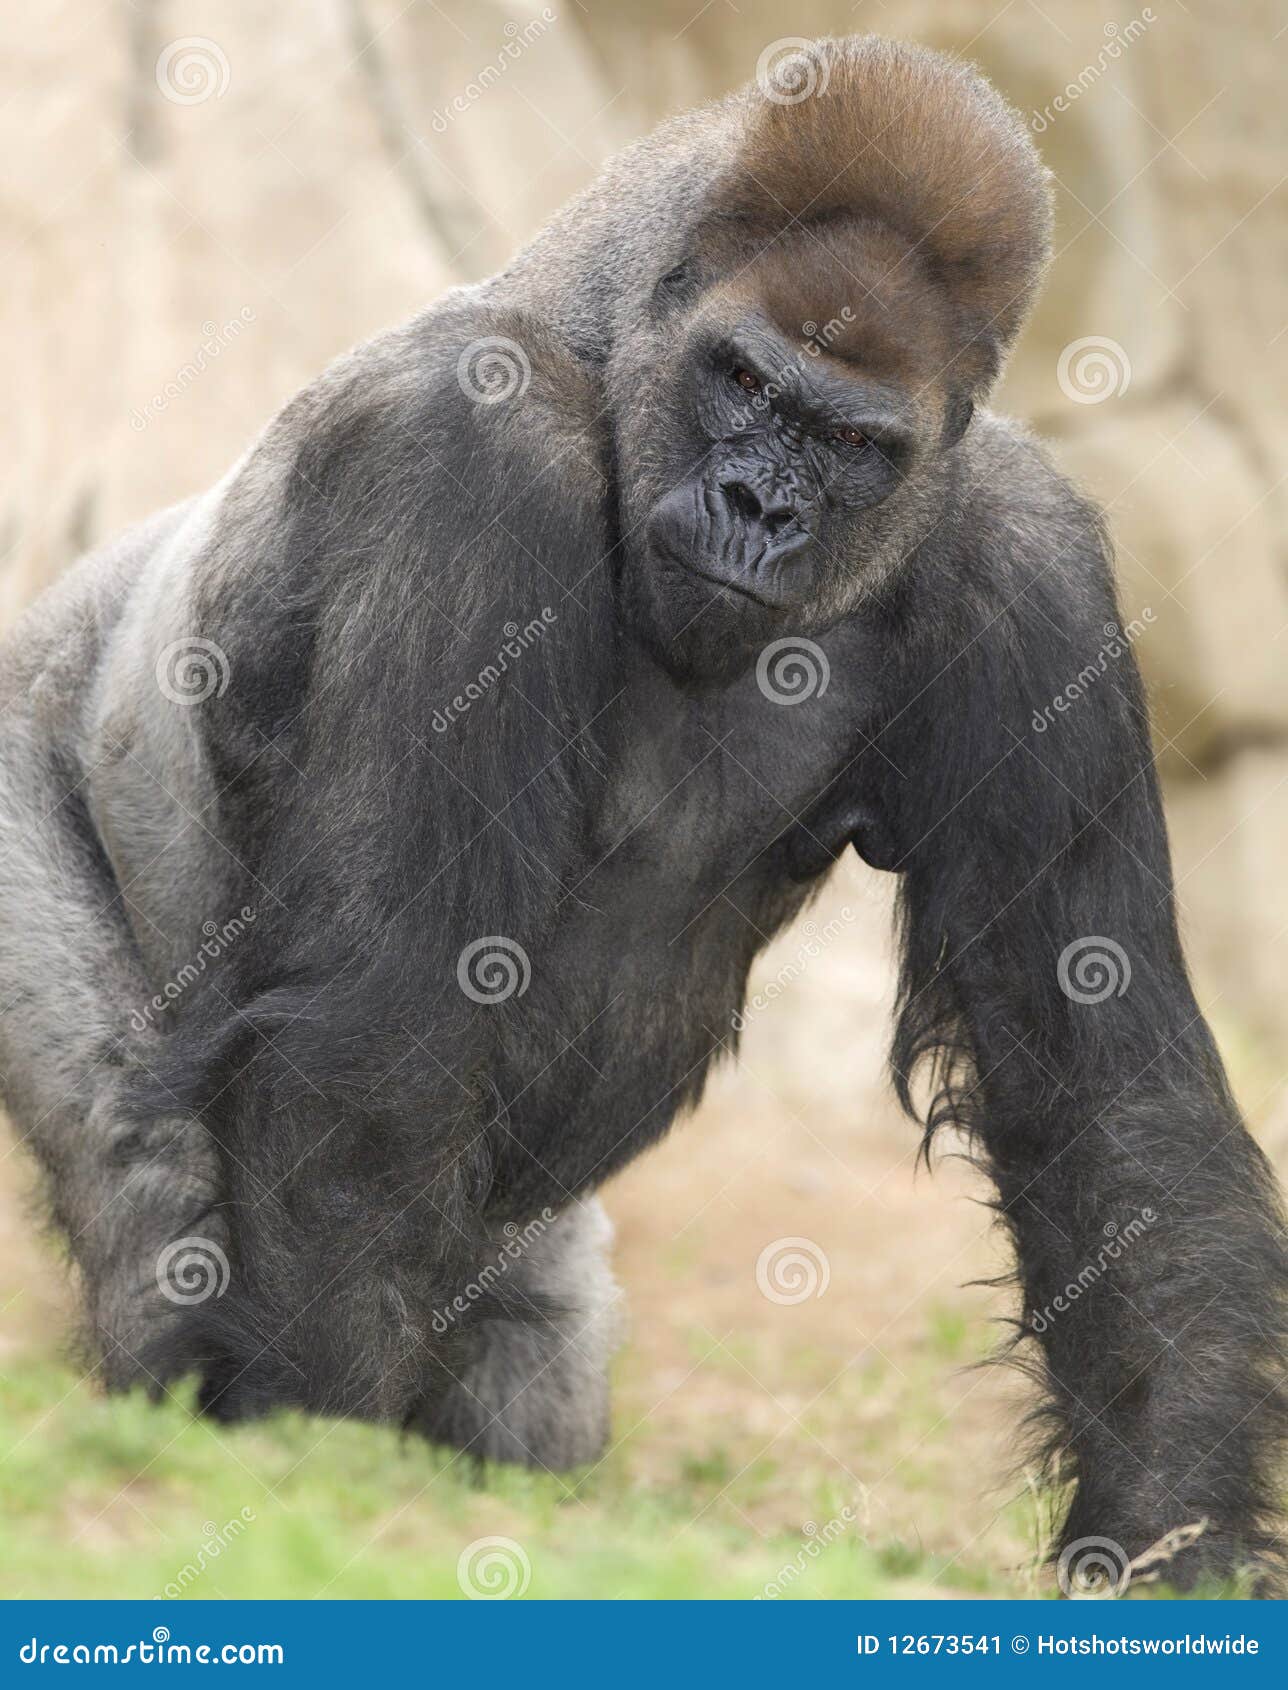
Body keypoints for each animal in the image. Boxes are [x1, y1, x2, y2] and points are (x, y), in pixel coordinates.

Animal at [0, 36, 1283, 1592]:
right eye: (741, 382)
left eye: (848, 440)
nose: (756, 502)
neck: (612, 345)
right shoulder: (471, 445)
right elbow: (375, 1039)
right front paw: (322, 1460)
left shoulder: (1031, 569)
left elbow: (1103, 1094)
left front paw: (1176, 1540)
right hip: (34, 759)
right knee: (153, 1178)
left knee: (529, 1346)